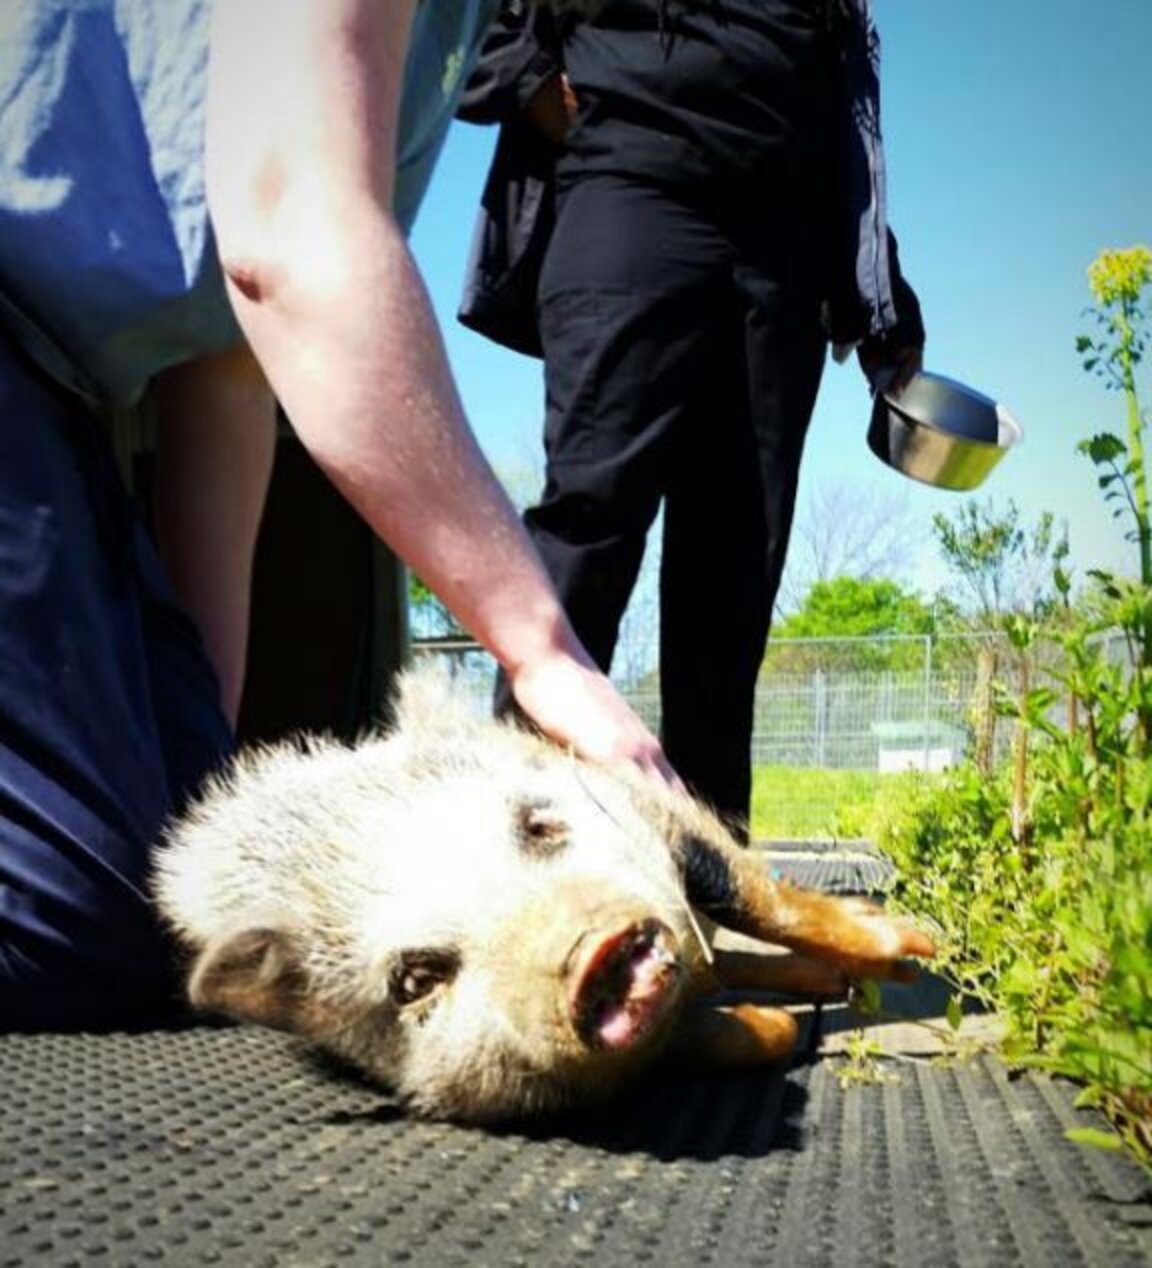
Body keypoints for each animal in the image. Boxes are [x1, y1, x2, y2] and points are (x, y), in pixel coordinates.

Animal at [154, 665, 934, 1124]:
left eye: (538, 824)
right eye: (415, 978)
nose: (592, 953)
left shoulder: (653, 808)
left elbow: (752, 894)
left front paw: (912, 949)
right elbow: (708, 1038)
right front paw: (775, 1029)